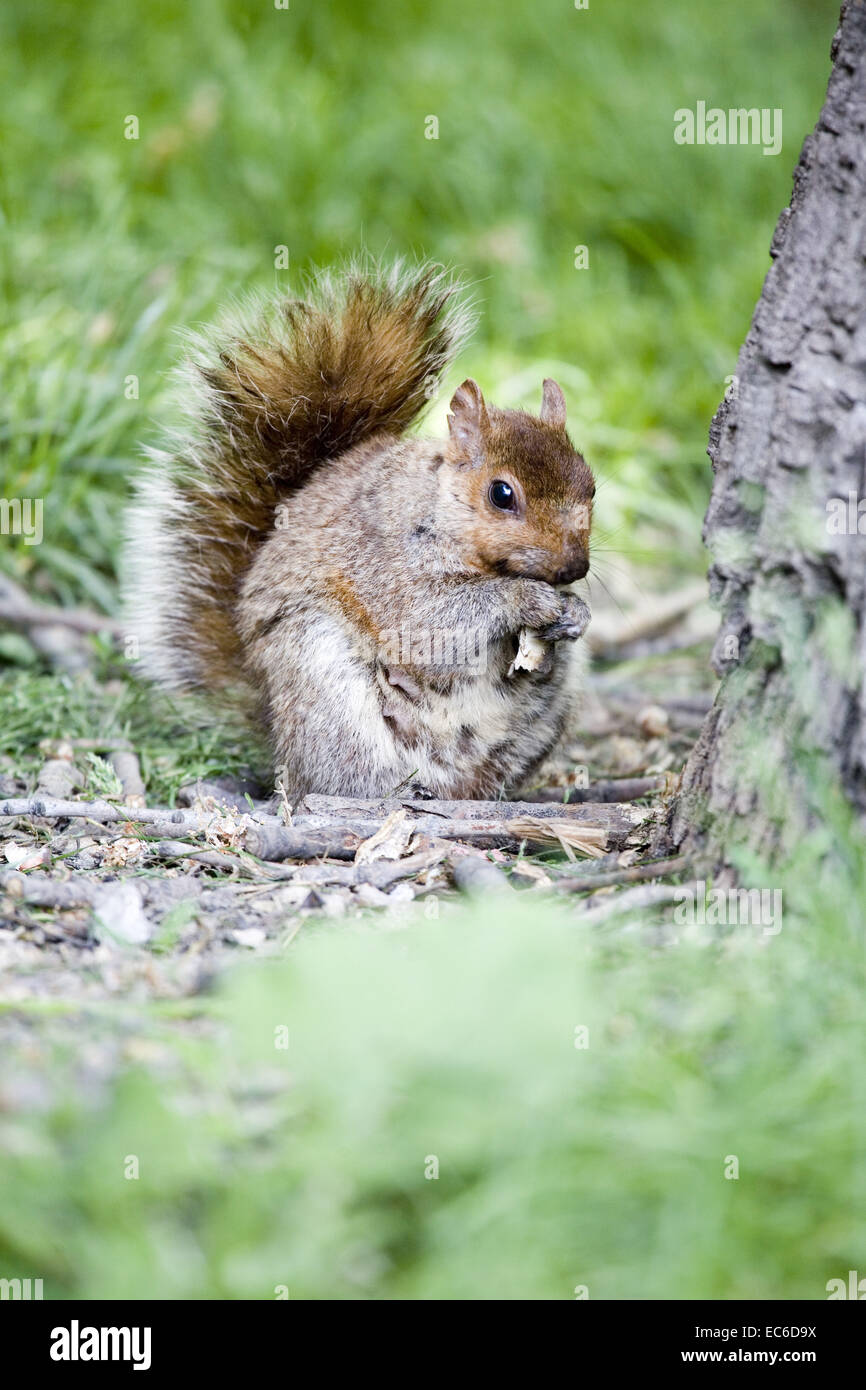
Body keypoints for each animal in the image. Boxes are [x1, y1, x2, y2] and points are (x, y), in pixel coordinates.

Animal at [124, 260, 595, 801]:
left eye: (591, 485)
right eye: (501, 493)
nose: (574, 567)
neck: (438, 511)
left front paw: (576, 612)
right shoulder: (387, 569)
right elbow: (433, 625)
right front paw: (527, 599)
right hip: (325, 685)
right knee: (340, 779)